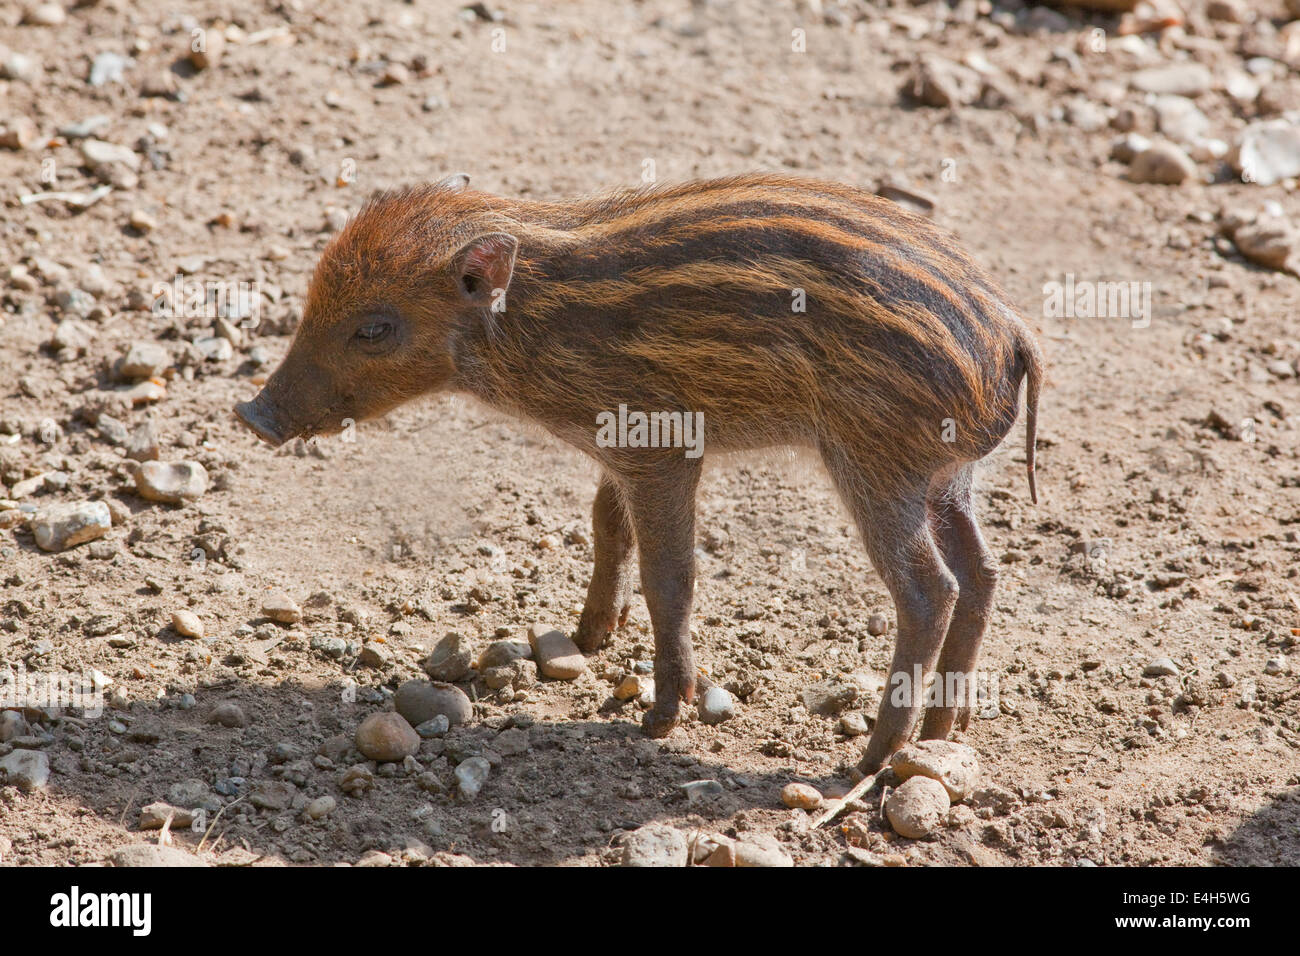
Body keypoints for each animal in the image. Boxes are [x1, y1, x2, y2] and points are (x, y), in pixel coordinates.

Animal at [235, 172, 1043, 773]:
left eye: (375, 328)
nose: (252, 415)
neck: (534, 322)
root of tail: (1013, 333)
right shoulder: (617, 452)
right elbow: (606, 527)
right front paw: (586, 639)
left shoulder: (662, 450)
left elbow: (670, 575)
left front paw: (658, 717)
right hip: (948, 474)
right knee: (984, 572)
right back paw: (941, 732)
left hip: (878, 465)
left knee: (929, 589)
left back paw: (871, 760)